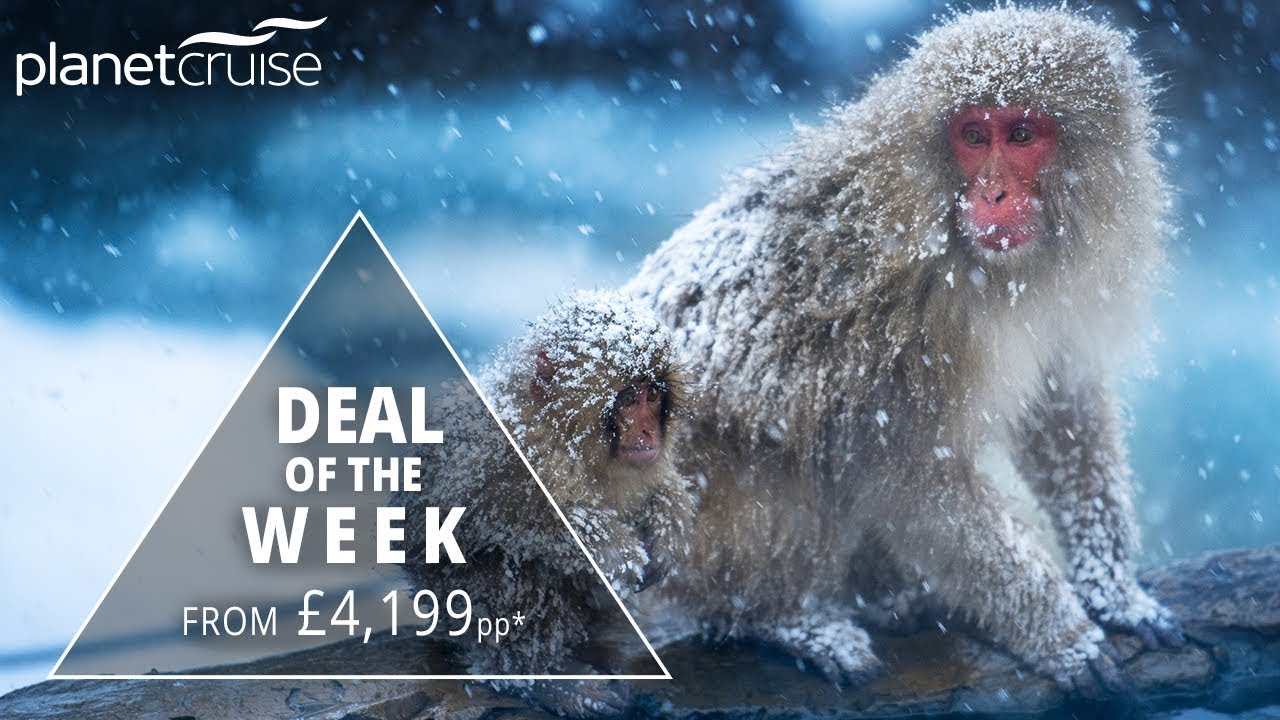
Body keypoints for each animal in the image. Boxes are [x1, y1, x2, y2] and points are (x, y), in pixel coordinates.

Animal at [392, 289, 694, 717]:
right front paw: (609, 546)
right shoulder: (498, 448)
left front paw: (671, 522)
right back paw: (544, 677)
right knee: (510, 573)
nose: (649, 432)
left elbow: (659, 487)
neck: (564, 435)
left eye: (652, 394)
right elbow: (477, 513)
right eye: (628, 400)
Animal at [622, 6, 1182, 697]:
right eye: (974, 136)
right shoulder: (904, 329)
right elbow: (908, 480)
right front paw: (1060, 633)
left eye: (1022, 134)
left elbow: (1062, 404)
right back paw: (781, 617)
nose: (992, 194)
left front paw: (1112, 588)